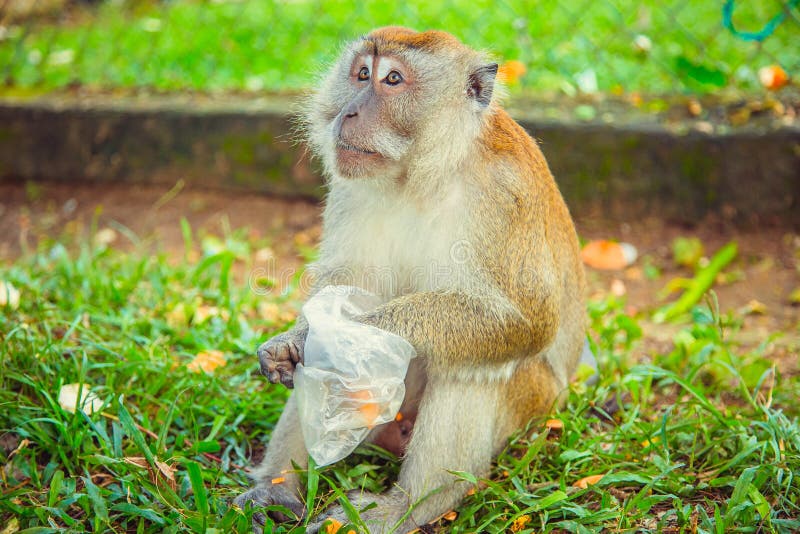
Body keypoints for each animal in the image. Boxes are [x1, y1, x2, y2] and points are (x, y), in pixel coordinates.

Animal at [234, 26, 586, 533]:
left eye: (393, 80)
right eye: (362, 74)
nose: (348, 112)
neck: (422, 176)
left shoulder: (505, 193)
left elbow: (525, 321)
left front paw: (349, 336)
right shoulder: (352, 184)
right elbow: (346, 283)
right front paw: (294, 339)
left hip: (532, 408)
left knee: (474, 361)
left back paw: (413, 506)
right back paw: (276, 490)